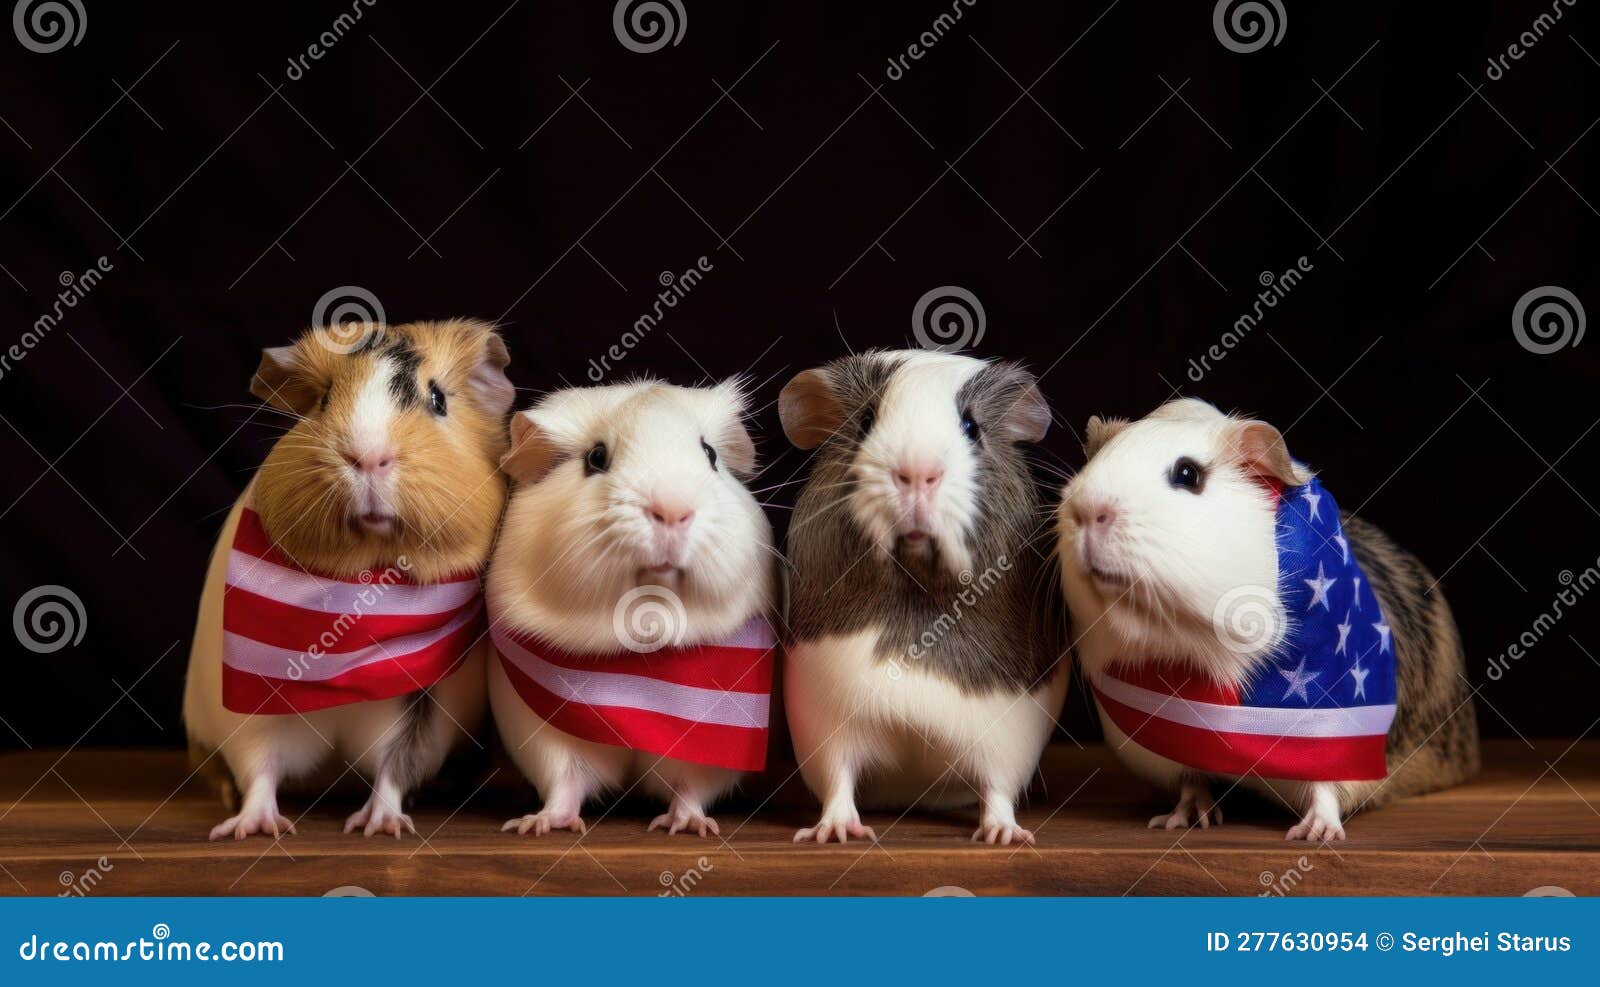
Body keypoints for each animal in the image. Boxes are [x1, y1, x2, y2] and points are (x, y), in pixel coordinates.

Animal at [183, 319, 513, 839]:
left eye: (438, 399)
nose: (368, 456)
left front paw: (382, 826)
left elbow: (393, 770)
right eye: (324, 399)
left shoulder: (418, 713)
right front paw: (251, 829)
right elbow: (260, 769)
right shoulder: (252, 715)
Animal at [487, 379, 777, 838]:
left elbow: (689, 788)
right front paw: (536, 825)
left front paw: (690, 827)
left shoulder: (704, 754)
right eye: (596, 457)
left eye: (710, 455)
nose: (672, 510)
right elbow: (564, 783)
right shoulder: (545, 736)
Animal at [778, 350, 1067, 846]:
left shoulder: (1009, 738)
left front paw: (1003, 836)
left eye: (972, 426)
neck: (916, 604)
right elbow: (838, 782)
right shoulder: (824, 723)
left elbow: (998, 790)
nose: (917, 471)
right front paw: (832, 833)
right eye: (866, 420)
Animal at [1056, 398, 1479, 841]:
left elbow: (1326, 791)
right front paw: (1180, 819)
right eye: (1095, 461)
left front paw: (1313, 834)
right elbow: (1192, 781)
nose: (1086, 511)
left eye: (1188, 474)